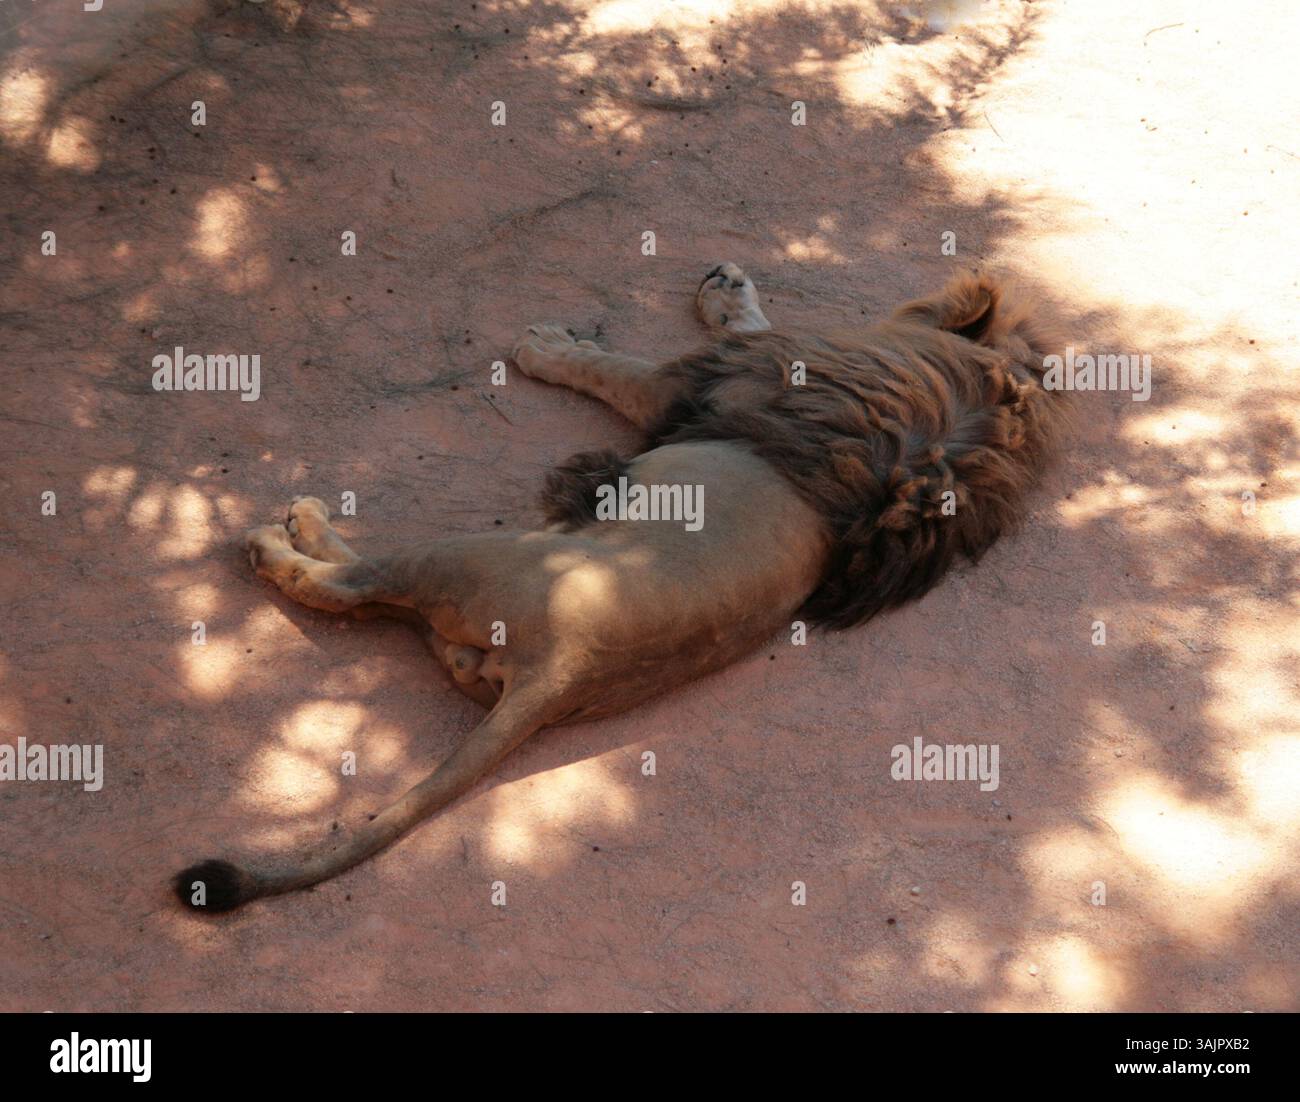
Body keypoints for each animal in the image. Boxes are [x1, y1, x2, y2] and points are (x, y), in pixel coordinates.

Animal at [174, 263, 1069, 912]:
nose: (717, 268)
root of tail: (565, 671)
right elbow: (752, 324)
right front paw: (730, 290)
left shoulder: (686, 387)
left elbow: (613, 365)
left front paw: (545, 344)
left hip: (471, 552)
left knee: (348, 586)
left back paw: (287, 532)